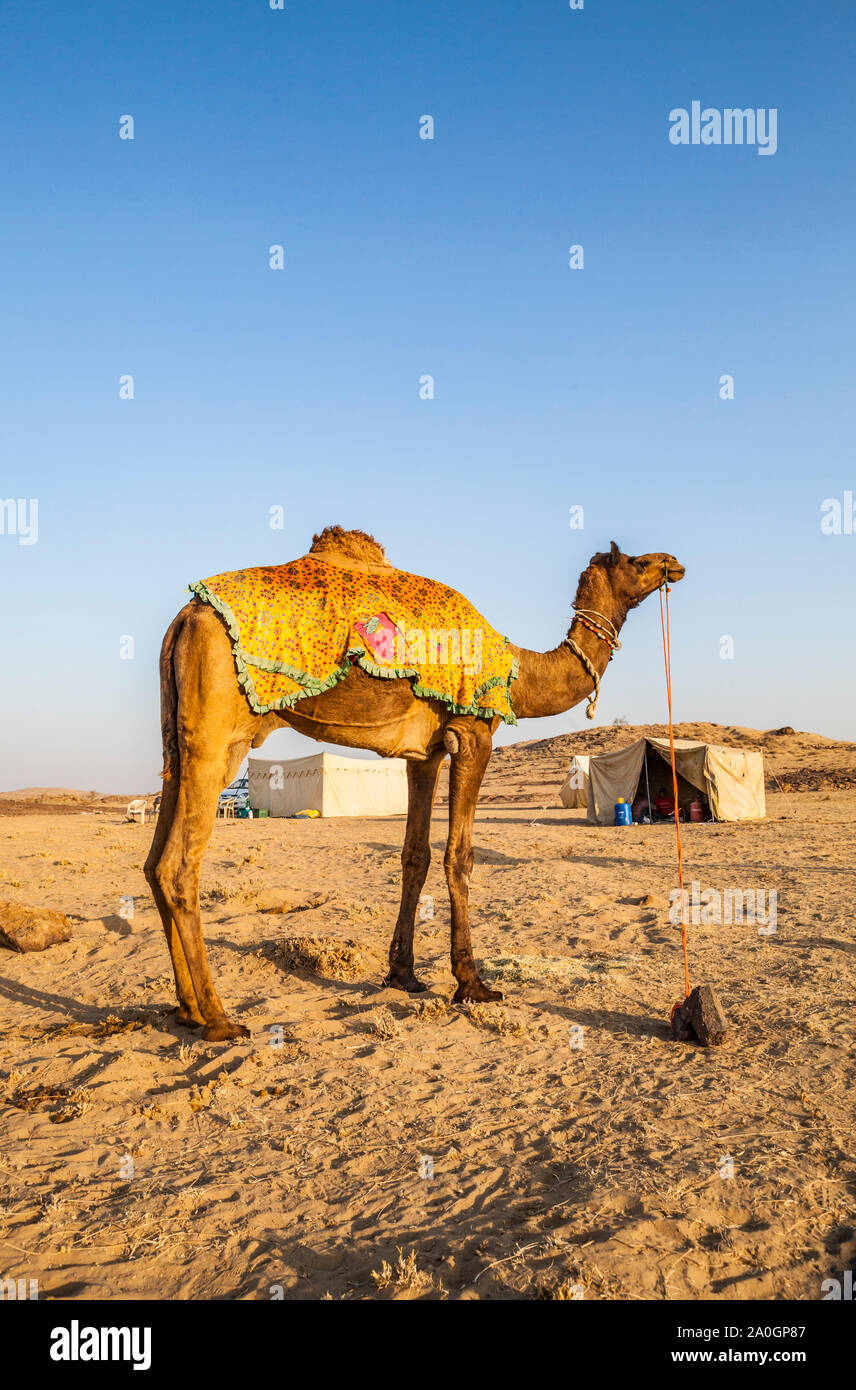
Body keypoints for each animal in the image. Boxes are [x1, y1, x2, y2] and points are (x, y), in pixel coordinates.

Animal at [144, 528, 685, 1040]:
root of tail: (185, 617)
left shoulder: (424, 756)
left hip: (178, 740)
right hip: (218, 732)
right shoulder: (472, 733)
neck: (519, 671)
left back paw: (187, 1010)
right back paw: (219, 1019)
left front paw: (403, 974)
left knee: (154, 862)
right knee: (180, 865)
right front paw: (472, 983)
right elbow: (459, 856)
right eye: (638, 562)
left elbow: (415, 855)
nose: (673, 563)